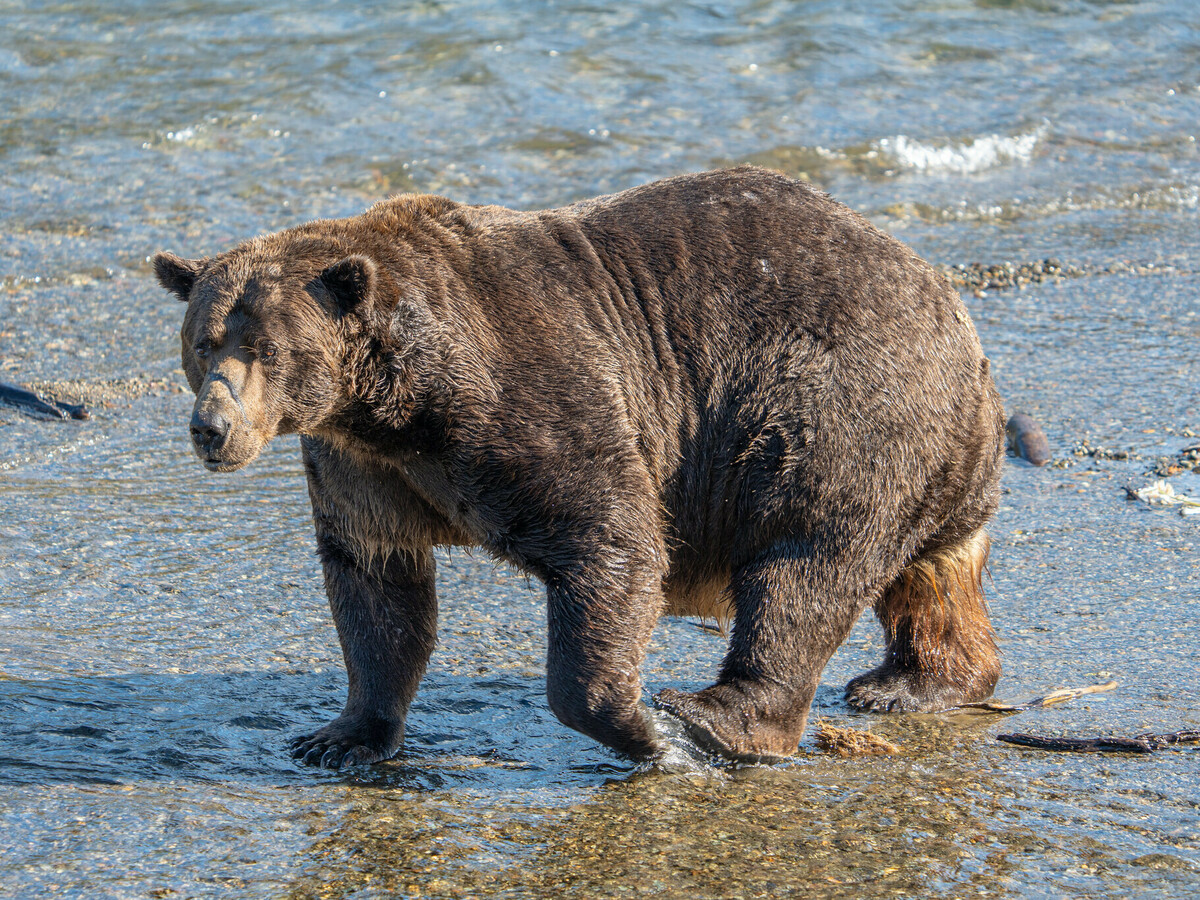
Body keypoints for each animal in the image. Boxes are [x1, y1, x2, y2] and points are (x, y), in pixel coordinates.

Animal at [154, 166, 1005, 768]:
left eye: (266, 348)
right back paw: (914, 683)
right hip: (932, 454)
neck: (395, 405)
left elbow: (608, 541)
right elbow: (375, 585)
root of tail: (948, 303)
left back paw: (716, 716)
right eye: (203, 342)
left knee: (802, 563)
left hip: (833, 405)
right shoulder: (362, 467)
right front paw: (341, 733)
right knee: (933, 572)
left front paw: (645, 728)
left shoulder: (526, 396)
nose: (212, 429)